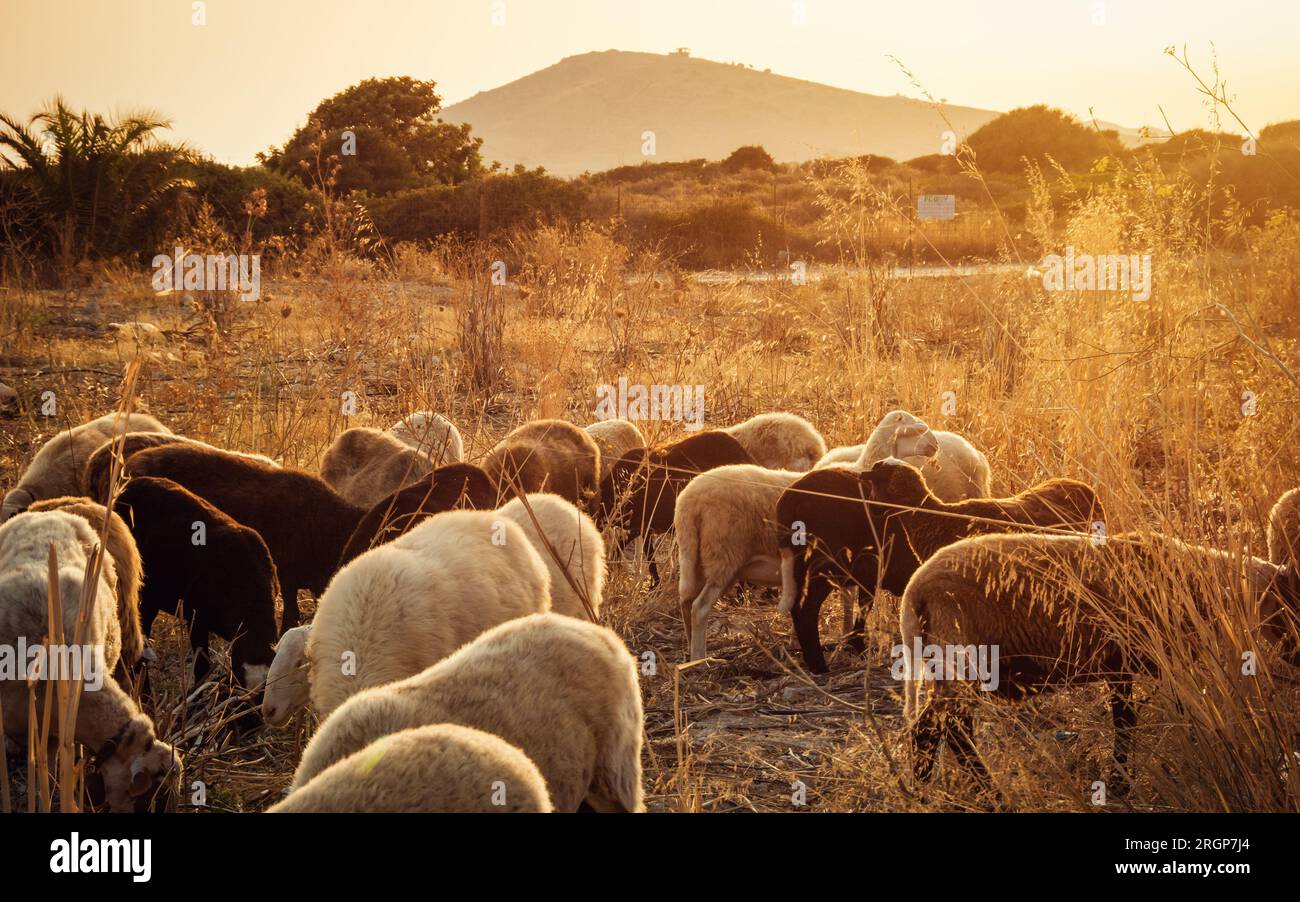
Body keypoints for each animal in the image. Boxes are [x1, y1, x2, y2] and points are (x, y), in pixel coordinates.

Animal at [675, 463, 805, 660]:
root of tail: (689, 501)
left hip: (694, 558)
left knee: (686, 602)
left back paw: (691, 655)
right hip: (723, 557)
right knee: (699, 608)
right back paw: (699, 658)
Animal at [900, 531, 1300, 797]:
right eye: (1292, 603)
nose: (1298, 656)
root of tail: (914, 590)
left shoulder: (1118, 667)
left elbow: (1126, 719)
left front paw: (1121, 781)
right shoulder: (1151, 663)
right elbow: (1152, 718)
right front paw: (1126, 781)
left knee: (943, 728)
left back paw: (931, 786)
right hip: (960, 656)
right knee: (942, 728)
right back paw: (984, 794)